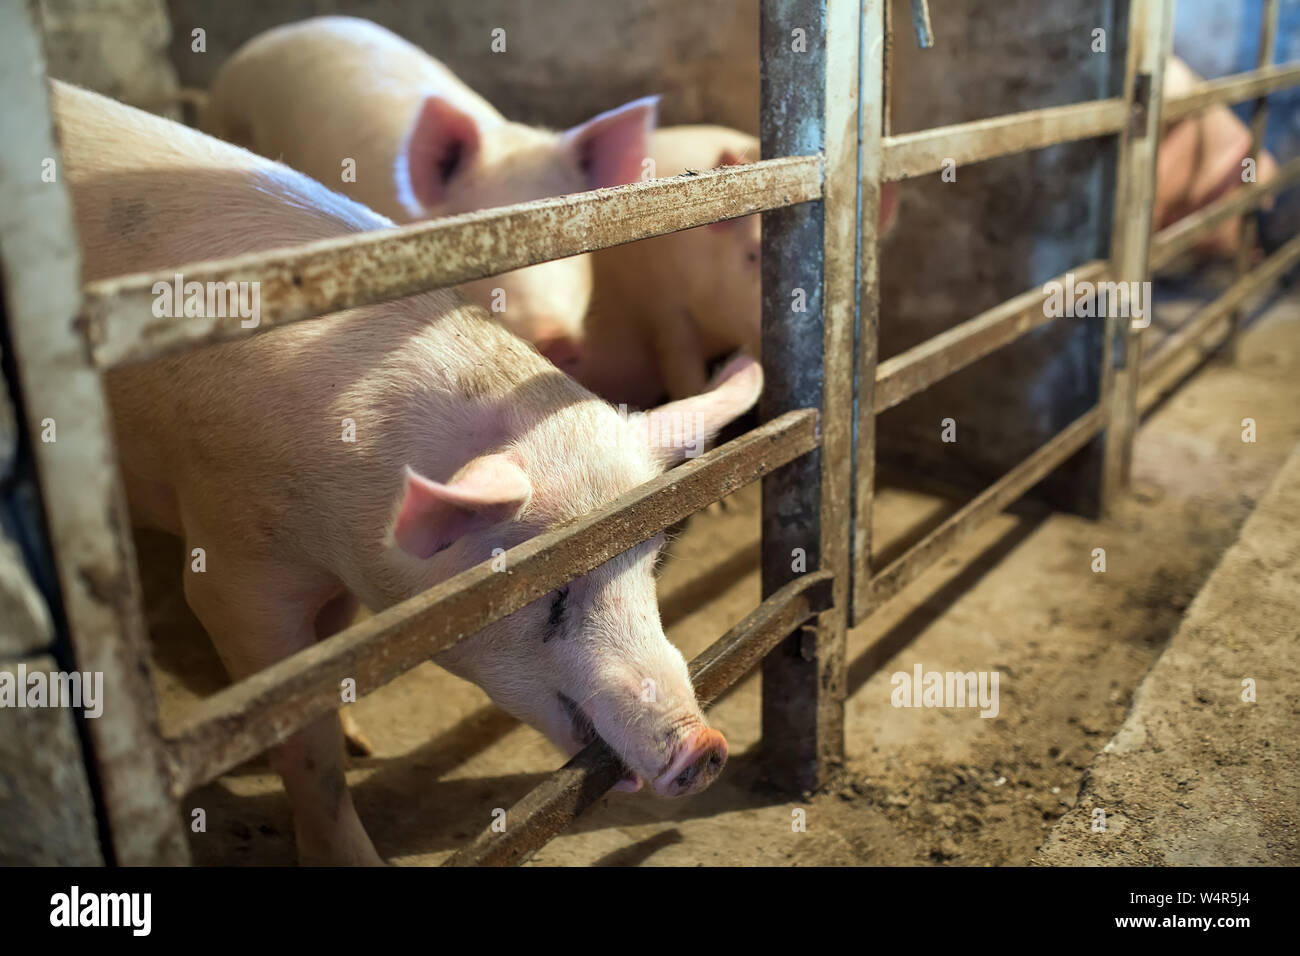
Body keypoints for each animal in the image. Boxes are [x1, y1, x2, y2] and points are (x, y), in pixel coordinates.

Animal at [53, 80, 757, 865]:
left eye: (652, 565)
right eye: (551, 595)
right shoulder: (231, 571)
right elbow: (305, 747)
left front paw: (357, 738)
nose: (707, 746)